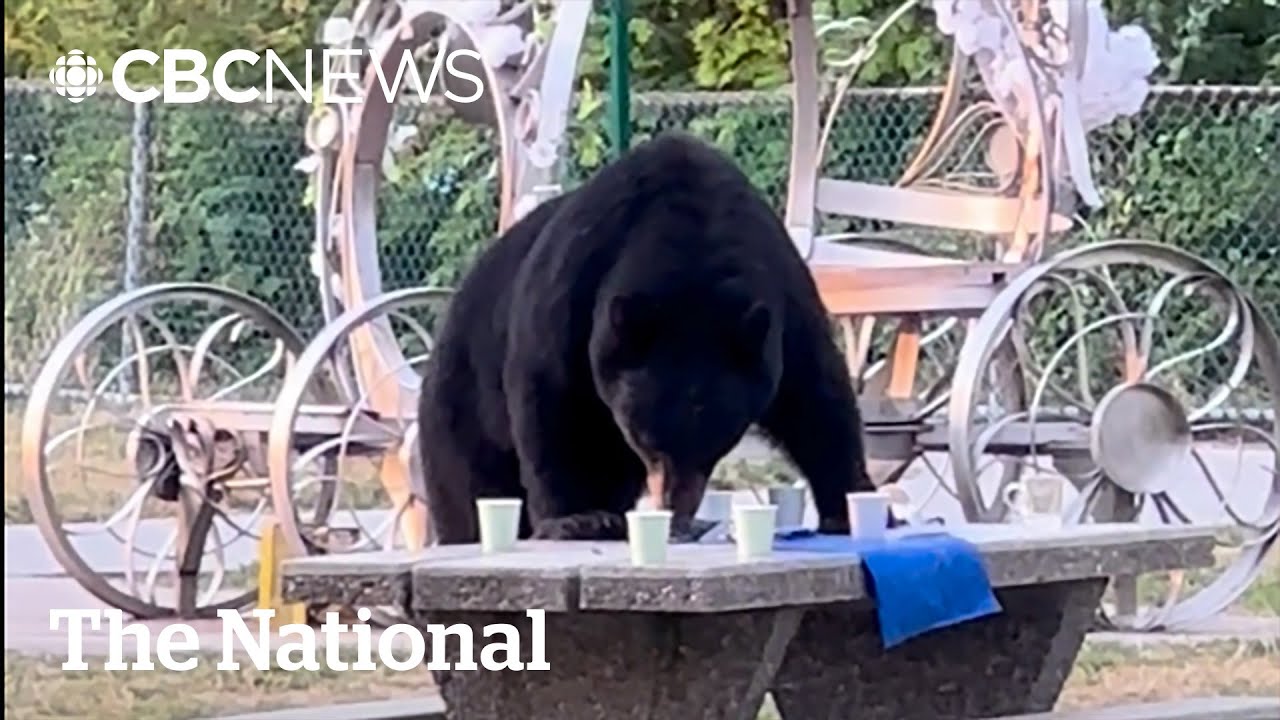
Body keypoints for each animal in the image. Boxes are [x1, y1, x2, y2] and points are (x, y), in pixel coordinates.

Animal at [415, 131, 875, 543]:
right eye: (647, 441)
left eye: (716, 445)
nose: (674, 512)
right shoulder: (575, 284)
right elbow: (548, 397)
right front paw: (575, 519)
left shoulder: (780, 298)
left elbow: (815, 395)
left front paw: (848, 507)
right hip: (459, 413)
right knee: (470, 488)